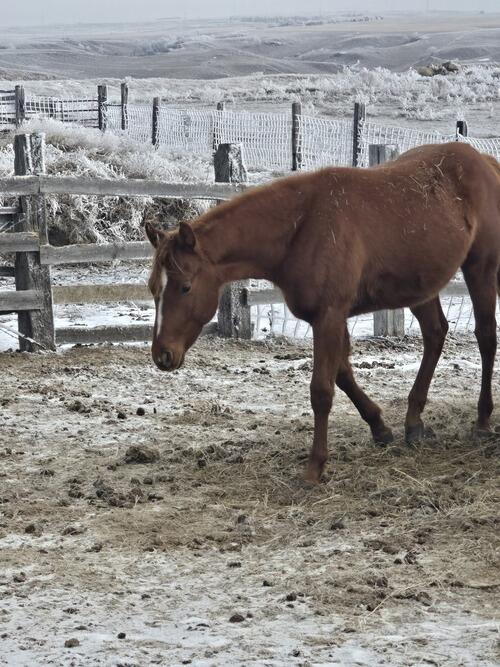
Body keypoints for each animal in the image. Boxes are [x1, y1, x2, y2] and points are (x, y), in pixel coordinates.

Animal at [145, 142, 500, 484]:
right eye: (153, 288)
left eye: (185, 287)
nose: (163, 355)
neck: (300, 227)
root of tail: (484, 161)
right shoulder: (332, 317)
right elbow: (342, 373)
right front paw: (380, 428)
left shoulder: (328, 316)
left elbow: (321, 391)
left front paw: (314, 468)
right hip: (419, 284)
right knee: (436, 334)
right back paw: (413, 423)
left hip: (481, 268)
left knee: (485, 337)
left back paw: (482, 421)